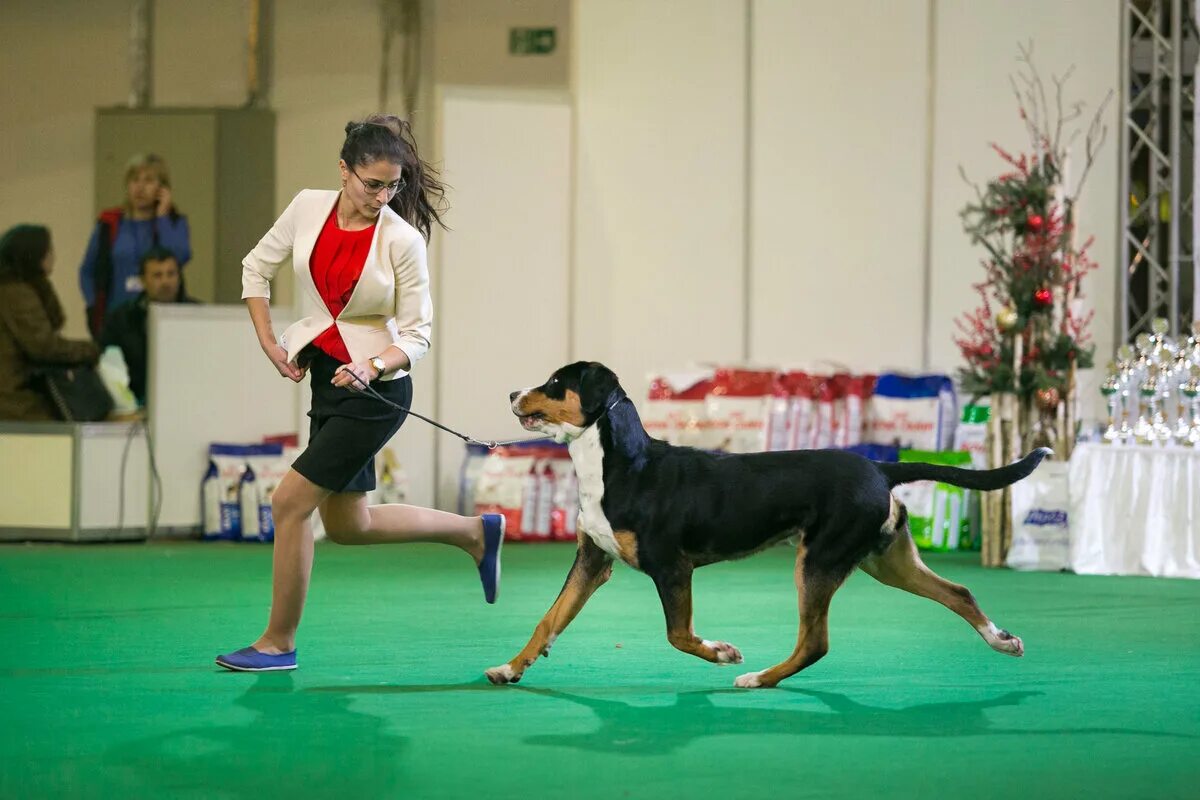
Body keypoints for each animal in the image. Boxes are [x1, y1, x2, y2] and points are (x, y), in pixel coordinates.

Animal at [487, 362, 1051, 690]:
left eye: (555, 384)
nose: (511, 391)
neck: (619, 466)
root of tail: (880, 467)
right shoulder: (592, 560)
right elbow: (548, 620)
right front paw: (510, 668)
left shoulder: (671, 568)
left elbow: (679, 634)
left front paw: (722, 652)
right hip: (884, 560)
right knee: (958, 592)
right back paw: (1003, 641)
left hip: (819, 561)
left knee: (815, 642)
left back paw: (758, 678)